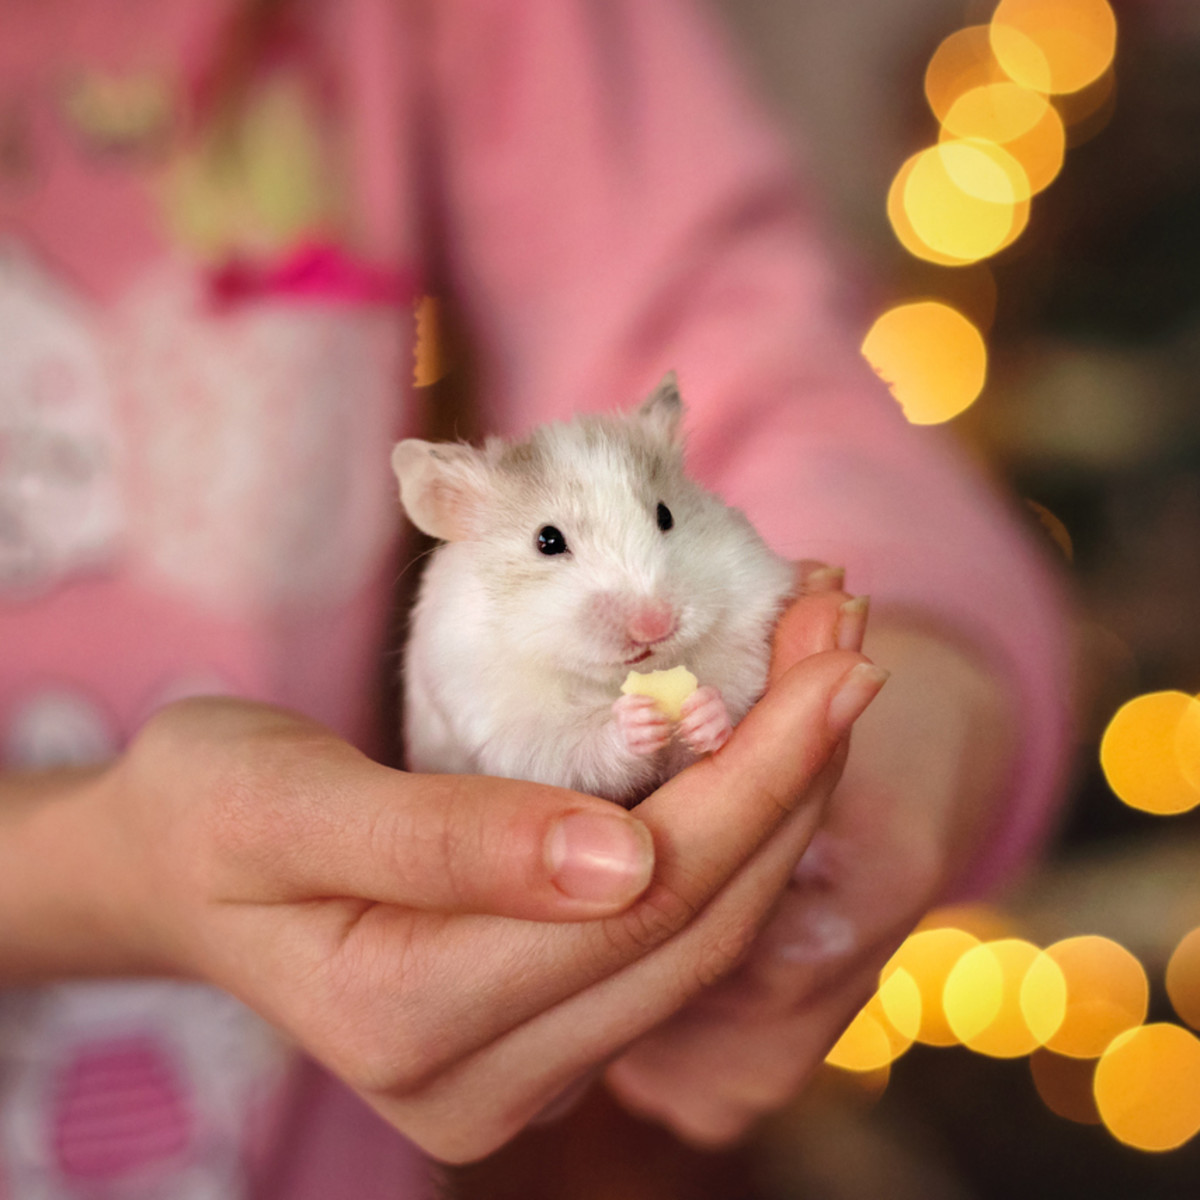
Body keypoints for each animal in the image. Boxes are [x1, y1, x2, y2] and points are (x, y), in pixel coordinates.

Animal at [392, 373, 795, 806]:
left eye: (665, 515)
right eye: (547, 540)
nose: (655, 626)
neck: (611, 680)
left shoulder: (743, 633)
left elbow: (726, 699)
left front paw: (704, 710)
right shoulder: (510, 726)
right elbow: (575, 747)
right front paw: (635, 721)